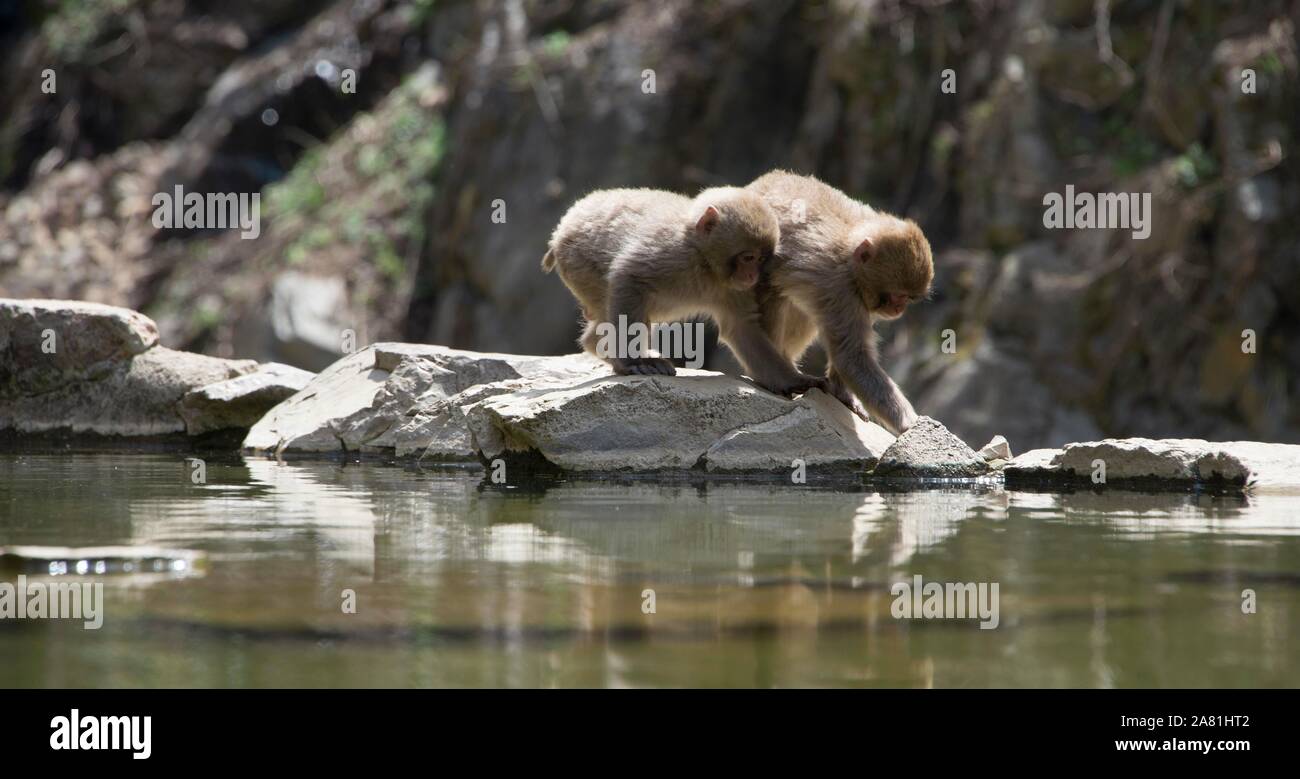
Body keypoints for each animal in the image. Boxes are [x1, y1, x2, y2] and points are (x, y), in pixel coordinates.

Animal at [542, 186, 831, 396]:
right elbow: (628, 277)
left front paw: (793, 380)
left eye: (762, 259)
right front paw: (633, 362)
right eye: (748, 257)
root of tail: (560, 230)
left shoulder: (734, 289)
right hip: (579, 263)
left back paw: (596, 343)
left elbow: (742, 326)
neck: (704, 261)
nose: (752, 276)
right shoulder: (669, 253)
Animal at [721, 170, 934, 435]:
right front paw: (910, 425)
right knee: (773, 297)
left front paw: (842, 393)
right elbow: (851, 357)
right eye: (898, 295)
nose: (899, 308)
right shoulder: (840, 288)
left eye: (907, 298)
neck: (851, 259)